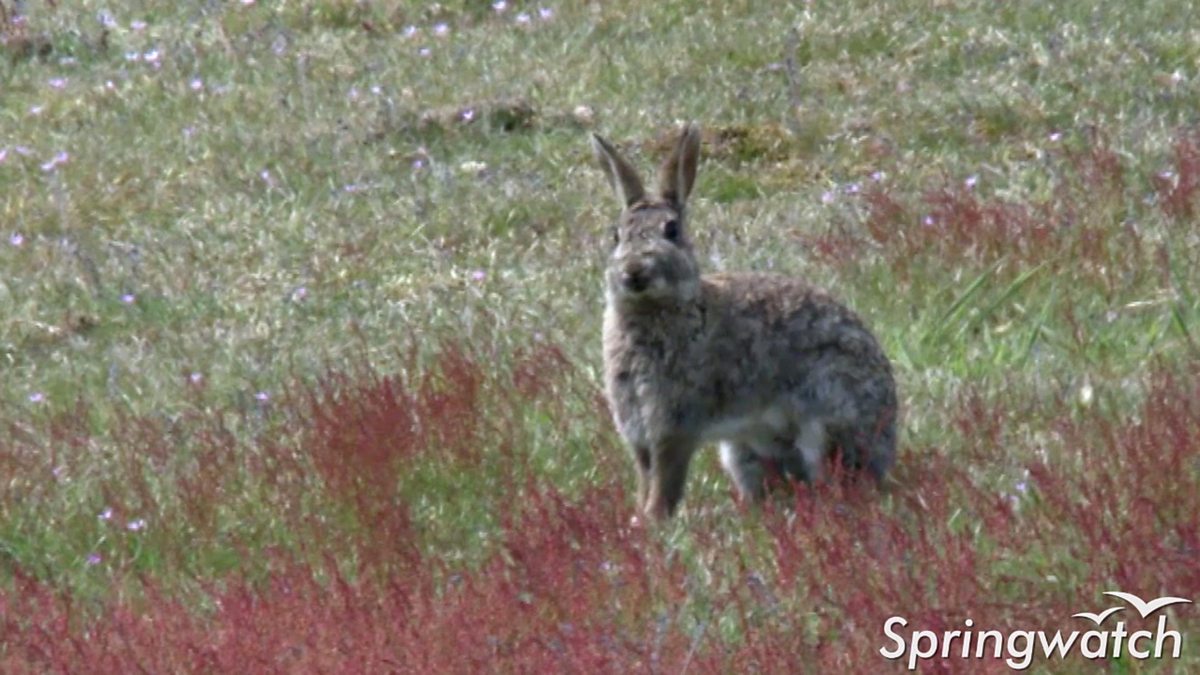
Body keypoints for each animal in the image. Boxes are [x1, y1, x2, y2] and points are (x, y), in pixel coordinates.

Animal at [591, 122, 898, 520]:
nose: (633, 272)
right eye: (616, 235)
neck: (655, 310)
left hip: (828, 422)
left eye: (671, 231)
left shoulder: (675, 426)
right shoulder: (638, 429)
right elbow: (646, 477)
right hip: (741, 452)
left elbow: (665, 481)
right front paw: (638, 520)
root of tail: (887, 447)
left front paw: (654, 520)